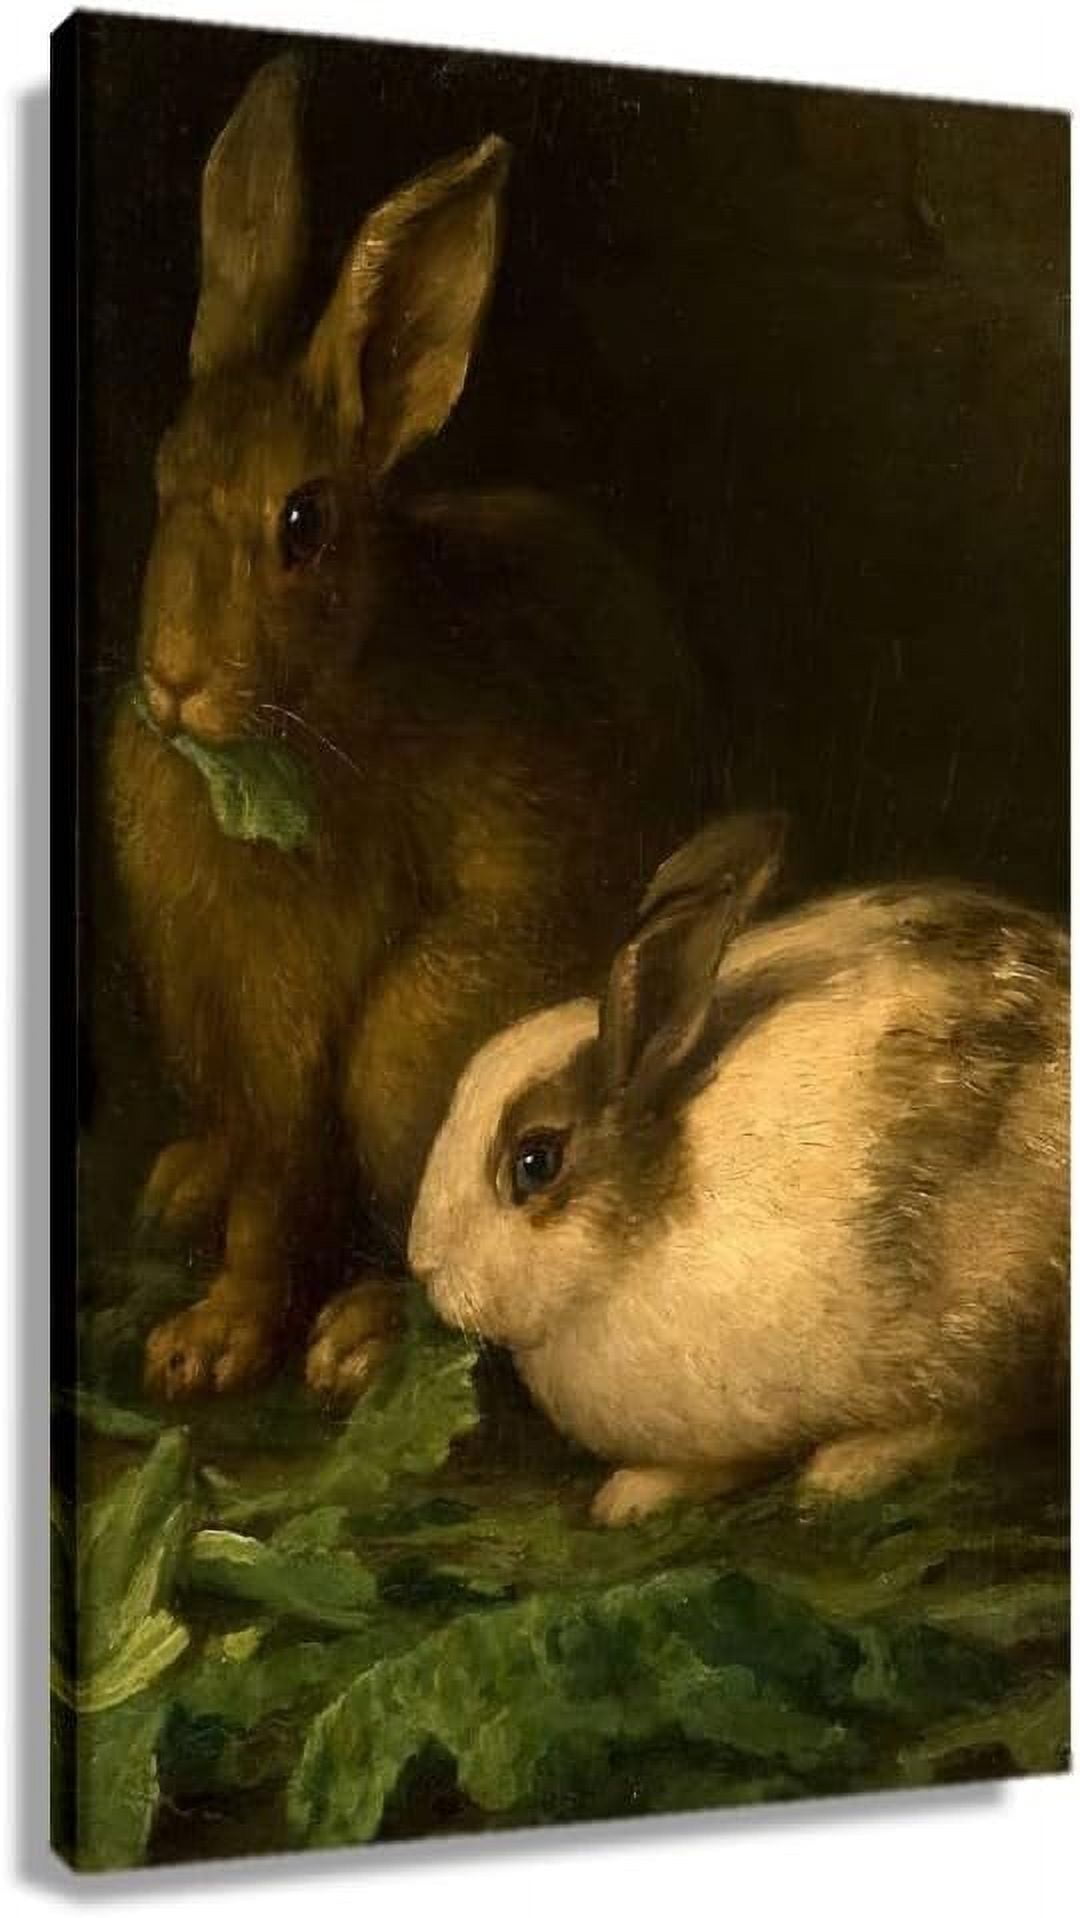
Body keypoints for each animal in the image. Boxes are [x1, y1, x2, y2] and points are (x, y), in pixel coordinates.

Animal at [108, 56, 704, 1401]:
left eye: (302, 523)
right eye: (163, 474)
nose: (173, 680)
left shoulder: (297, 1031)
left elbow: (282, 1208)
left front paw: (212, 1343)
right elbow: (260, 1178)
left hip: (412, 1038)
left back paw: (359, 1337)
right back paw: (180, 1184)